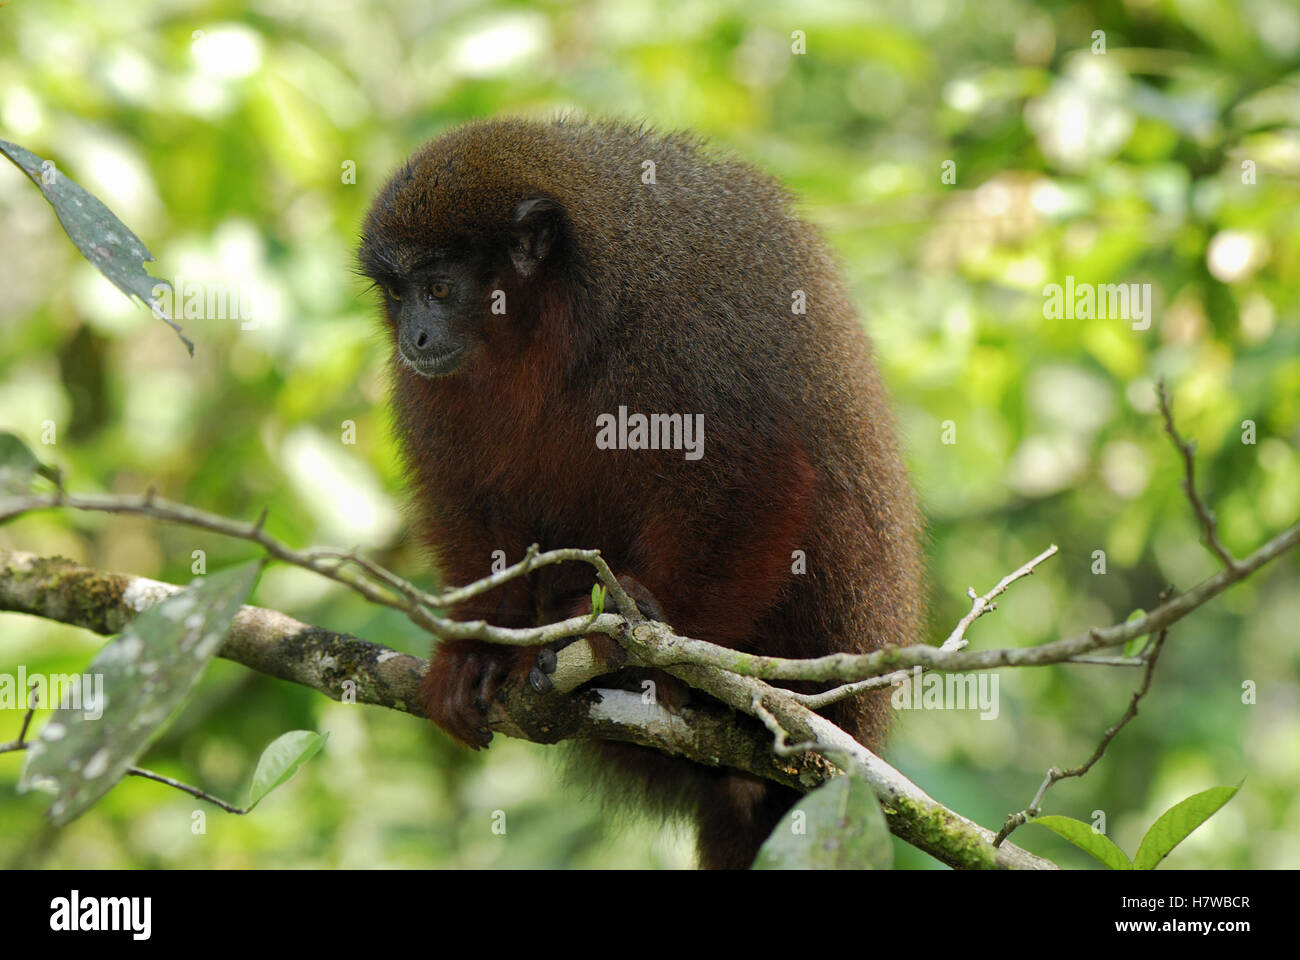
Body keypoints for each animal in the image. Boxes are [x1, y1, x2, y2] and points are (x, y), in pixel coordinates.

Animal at [357, 117, 923, 869]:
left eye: (441, 289)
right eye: (398, 293)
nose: (415, 336)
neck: (560, 327)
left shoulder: (689, 325)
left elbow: (759, 474)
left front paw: (655, 637)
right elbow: (469, 500)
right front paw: (477, 651)